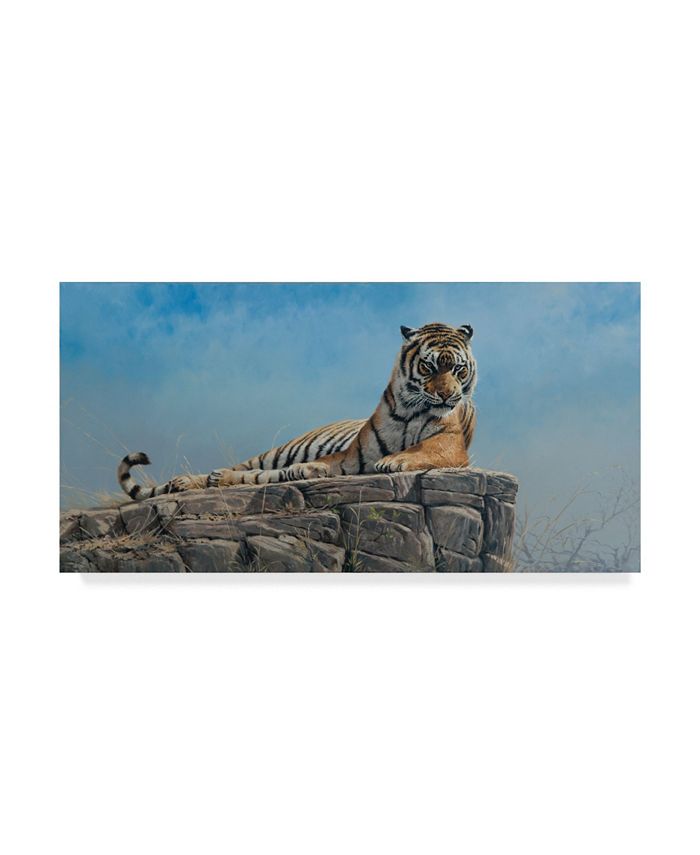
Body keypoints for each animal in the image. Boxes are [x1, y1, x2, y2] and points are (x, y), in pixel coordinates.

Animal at [118, 321, 478, 501]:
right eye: (429, 367)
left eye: (458, 369)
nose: (448, 396)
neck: (410, 409)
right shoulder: (351, 458)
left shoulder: (452, 446)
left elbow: (424, 449)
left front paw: (394, 461)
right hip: (278, 452)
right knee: (245, 468)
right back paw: (191, 480)